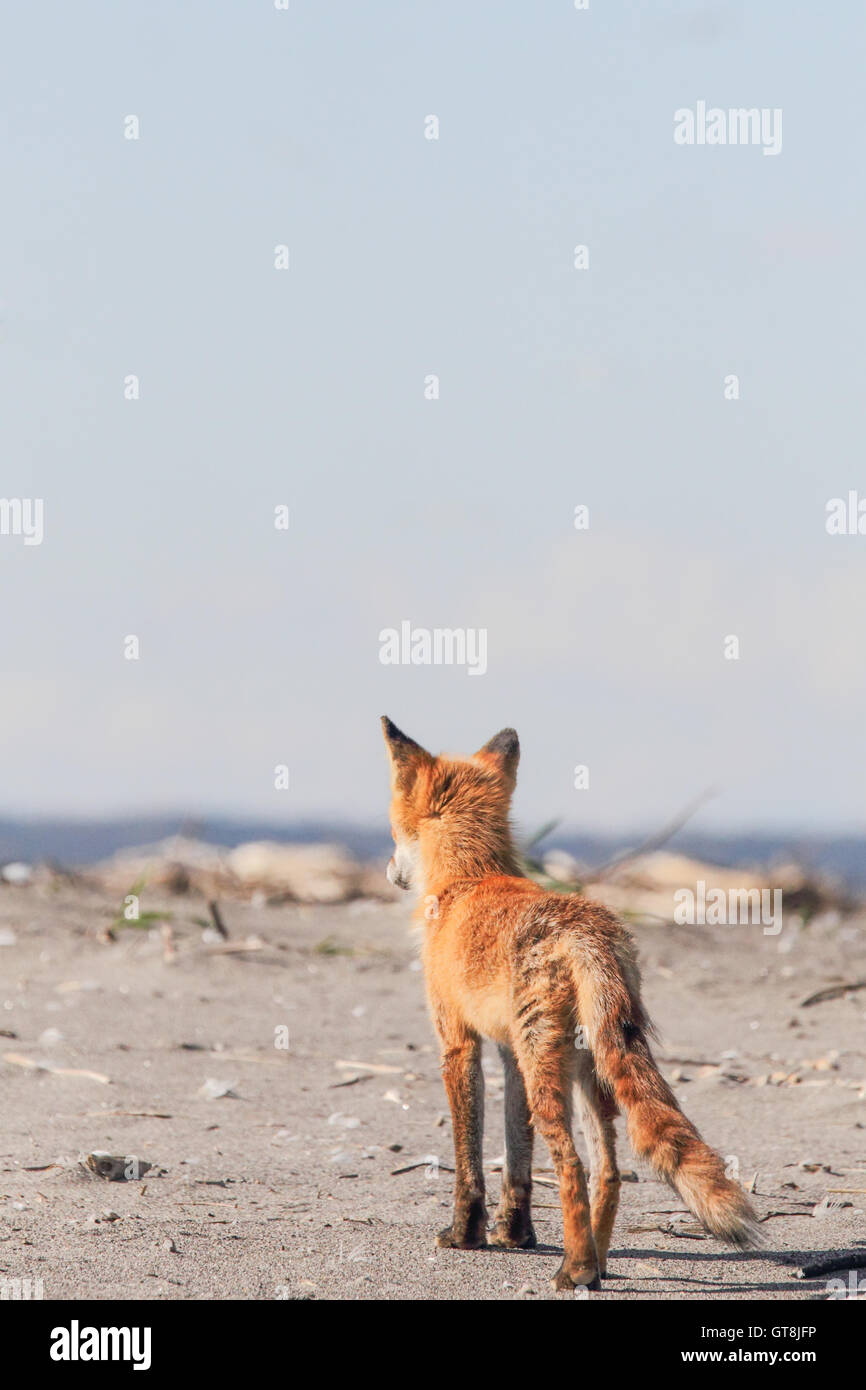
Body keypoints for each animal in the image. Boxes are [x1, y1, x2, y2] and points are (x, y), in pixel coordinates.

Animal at [381, 716, 761, 1291]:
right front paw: (515, 1233)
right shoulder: (508, 1052)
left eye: (390, 829)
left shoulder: (458, 1043)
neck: (469, 877)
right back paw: (597, 1261)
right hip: (585, 1066)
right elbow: (517, 1160)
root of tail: (587, 933)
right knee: (608, 1168)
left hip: (550, 1067)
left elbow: (471, 1158)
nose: (388, 870)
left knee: (572, 1164)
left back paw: (576, 1269)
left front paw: (466, 1233)